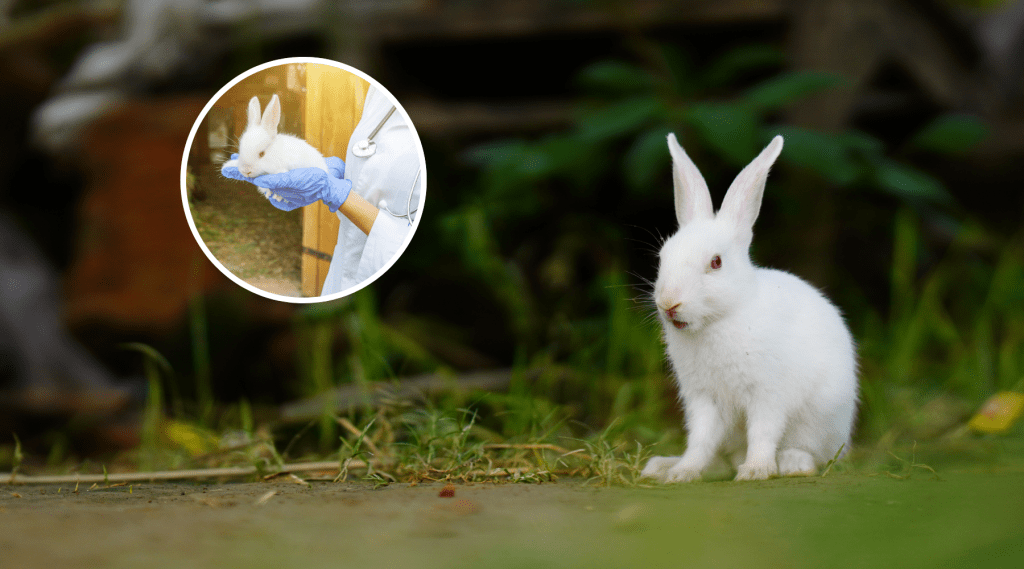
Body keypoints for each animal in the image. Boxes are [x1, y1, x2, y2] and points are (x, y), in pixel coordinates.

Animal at [639, 133, 858, 483]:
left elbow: (763, 433)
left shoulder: (767, 394)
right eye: (662, 257)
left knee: (810, 451)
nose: (668, 303)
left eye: (715, 262)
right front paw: (683, 473)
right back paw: (662, 467)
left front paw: (755, 470)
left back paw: (793, 464)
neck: (722, 318)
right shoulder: (703, 399)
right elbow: (700, 440)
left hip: (820, 418)